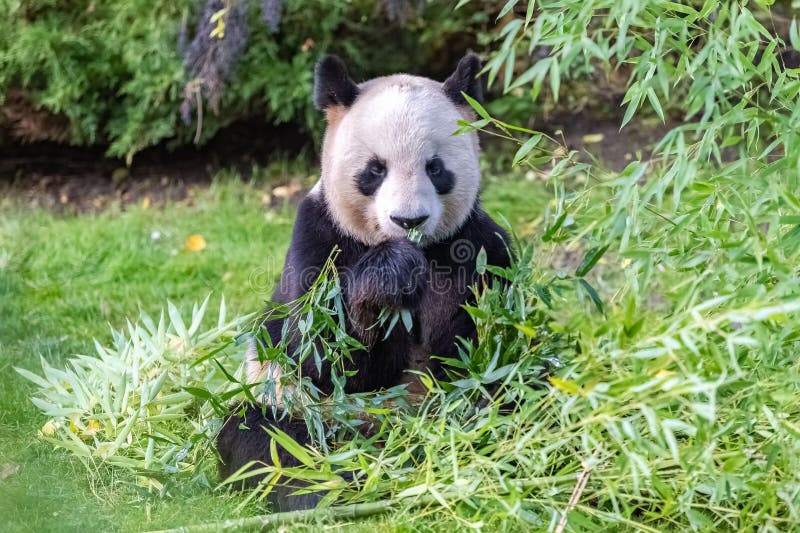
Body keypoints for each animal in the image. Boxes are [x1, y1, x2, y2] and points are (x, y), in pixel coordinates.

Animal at [216, 53, 512, 510]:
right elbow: (320, 353)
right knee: (267, 436)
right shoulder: (319, 240)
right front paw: (391, 276)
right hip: (285, 399)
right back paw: (324, 487)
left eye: (435, 168)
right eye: (375, 170)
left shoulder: (480, 248)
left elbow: (479, 348)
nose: (409, 220)